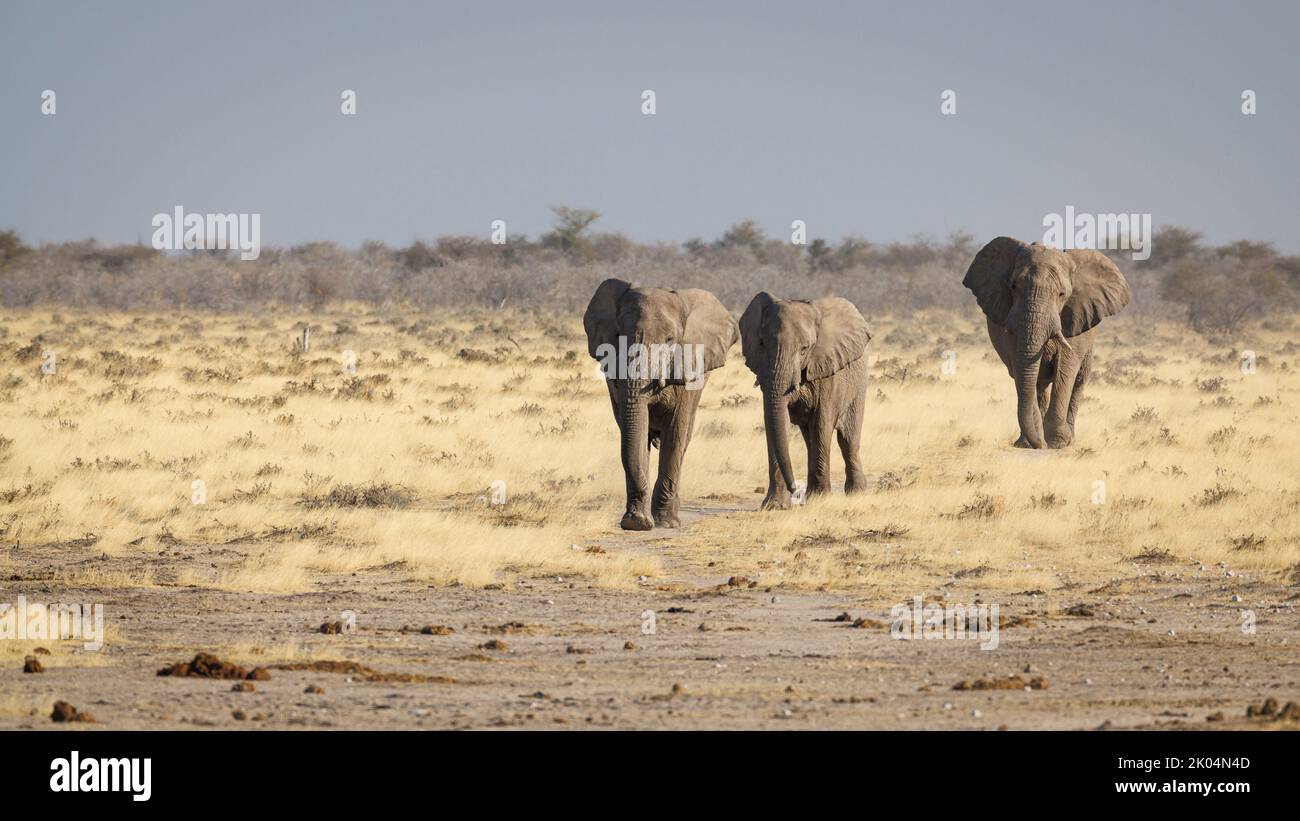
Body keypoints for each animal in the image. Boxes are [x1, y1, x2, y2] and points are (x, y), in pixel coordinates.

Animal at [584, 278, 738, 530]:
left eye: (669, 340)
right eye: (618, 336)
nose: (637, 521)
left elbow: (675, 432)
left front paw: (665, 523)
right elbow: (636, 432)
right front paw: (637, 521)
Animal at [740, 293, 872, 510]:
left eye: (804, 349)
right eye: (762, 345)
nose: (795, 490)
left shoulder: (828, 369)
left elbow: (822, 422)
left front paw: (820, 498)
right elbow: (778, 423)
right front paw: (774, 506)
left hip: (858, 384)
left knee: (847, 439)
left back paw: (856, 493)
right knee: (810, 438)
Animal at [962, 237, 1131, 449]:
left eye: (1062, 294)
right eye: (1013, 287)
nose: (1041, 445)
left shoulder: (1074, 316)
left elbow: (1066, 368)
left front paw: (1057, 442)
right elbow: (1021, 370)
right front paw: (1033, 442)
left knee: (1078, 382)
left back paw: (1068, 440)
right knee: (1037, 383)